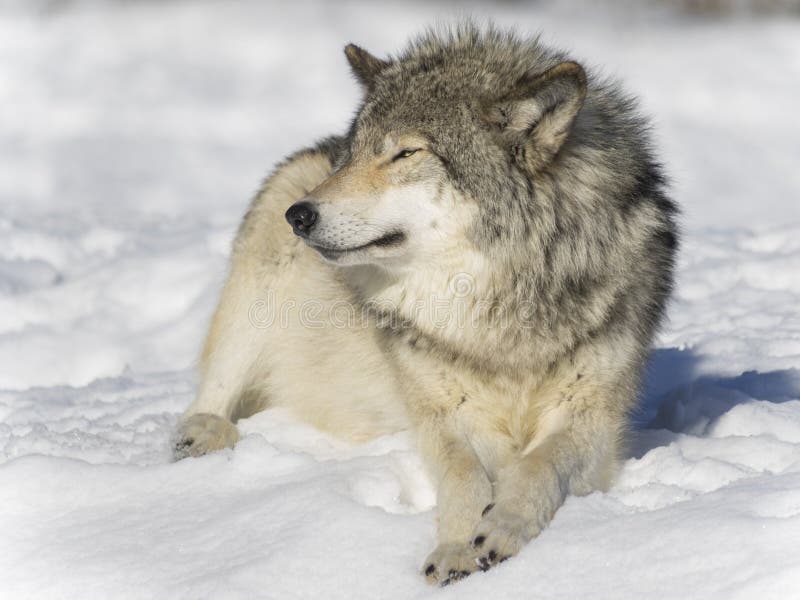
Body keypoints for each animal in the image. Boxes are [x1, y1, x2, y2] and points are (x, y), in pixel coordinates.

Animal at [173, 24, 677, 585]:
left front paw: (501, 528)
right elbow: (464, 476)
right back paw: (202, 434)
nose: (299, 215)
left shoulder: (592, 422)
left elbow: (538, 466)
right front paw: (457, 545)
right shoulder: (444, 416)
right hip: (257, 290)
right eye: (355, 153)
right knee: (213, 389)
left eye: (406, 154)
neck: (498, 309)